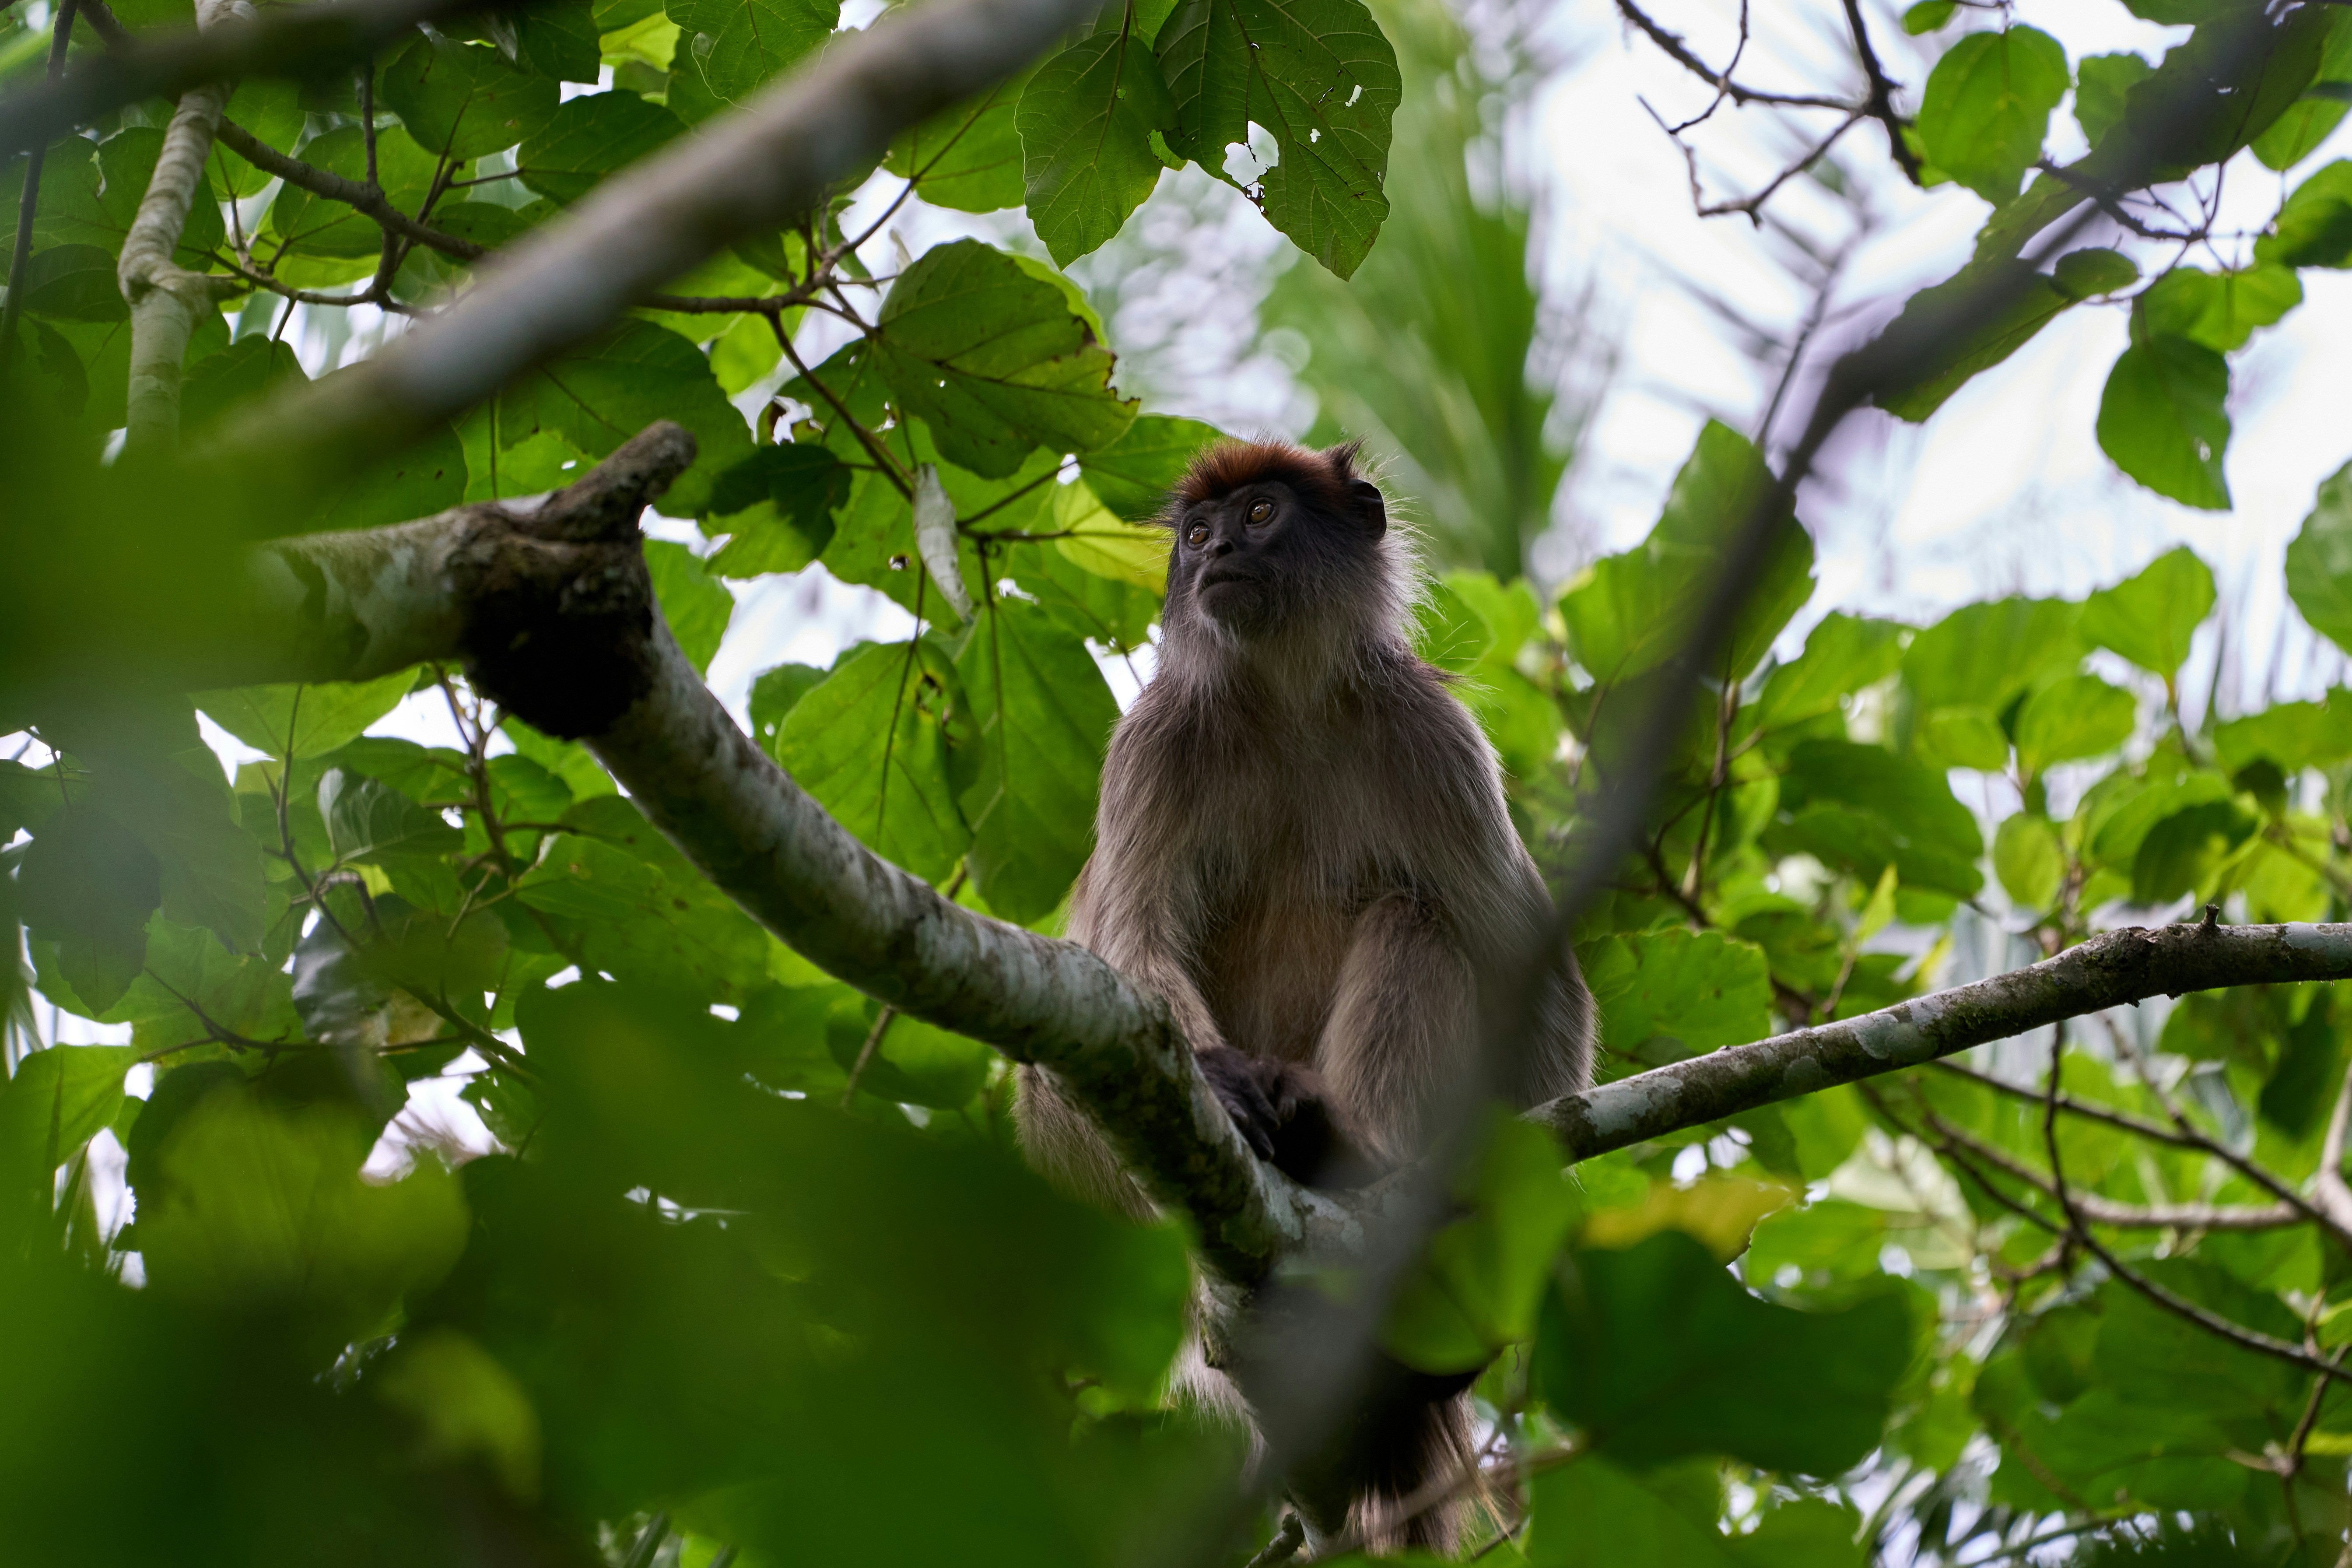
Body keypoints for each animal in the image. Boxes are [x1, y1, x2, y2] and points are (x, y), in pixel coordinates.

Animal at [1015, 438, 1595, 1553]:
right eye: (1197, 533)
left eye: (1258, 514)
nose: (1214, 555)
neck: (1283, 701)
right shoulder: (1155, 740)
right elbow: (1130, 951)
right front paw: (1224, 1084)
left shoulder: (1431, 736)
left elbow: (1538, 992)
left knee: (1414, 919)